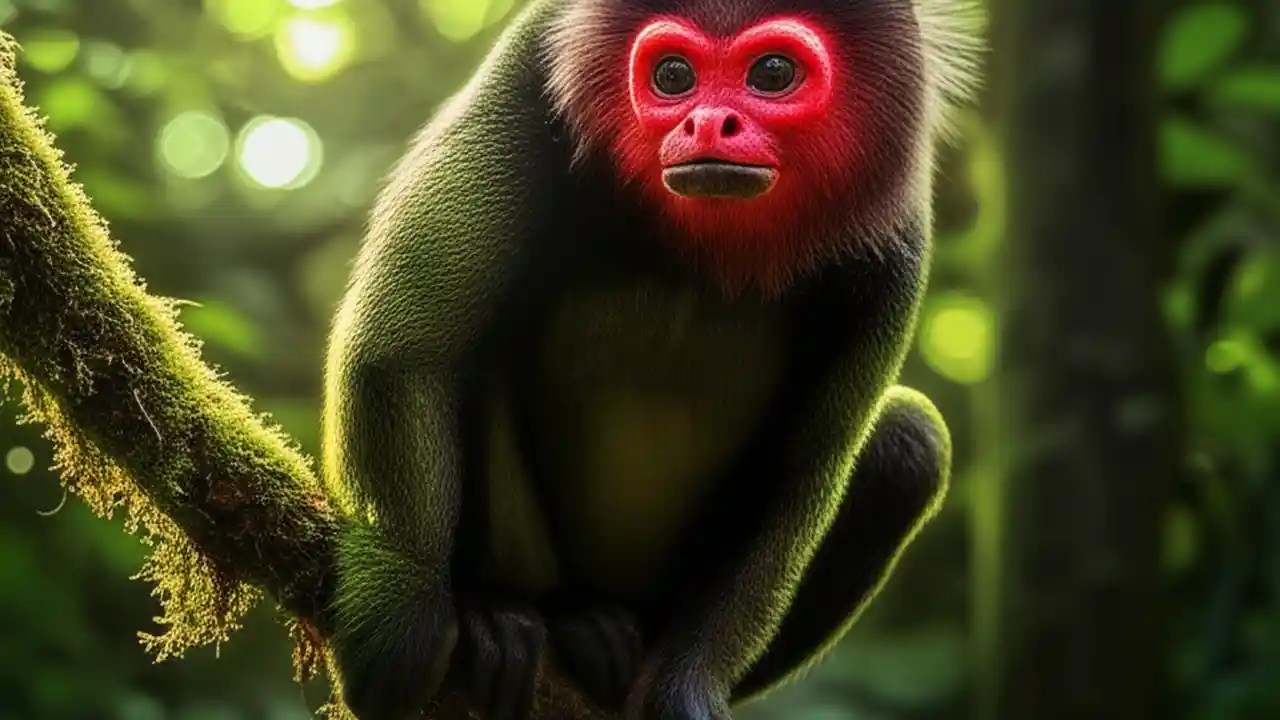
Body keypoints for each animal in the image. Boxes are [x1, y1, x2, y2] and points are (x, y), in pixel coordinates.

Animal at [320, 1, 980, 719]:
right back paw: (519, 613)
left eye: (773, 73)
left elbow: (802, 470)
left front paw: (684, 690)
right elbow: (406, 345)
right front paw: (403, 615)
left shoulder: (897, 244)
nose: (708, 123)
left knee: (910, 441)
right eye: (672, 76)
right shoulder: (527, 70)